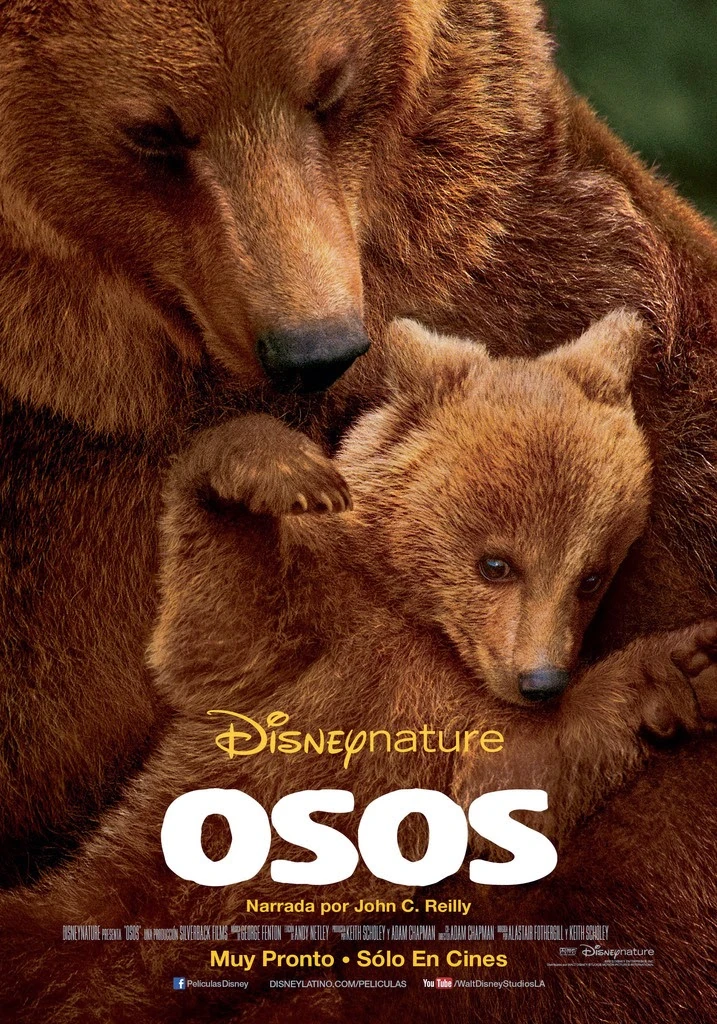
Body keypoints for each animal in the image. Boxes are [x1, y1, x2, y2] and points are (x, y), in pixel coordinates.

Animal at [1, 316, 715, 1023]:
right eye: (496, 563)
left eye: (591, 576)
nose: (540, 681)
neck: (419, 624)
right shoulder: (310, 634)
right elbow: (213, 627)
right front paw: (272, 466)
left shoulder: (457, 723)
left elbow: (521, 779)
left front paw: (679, 669)